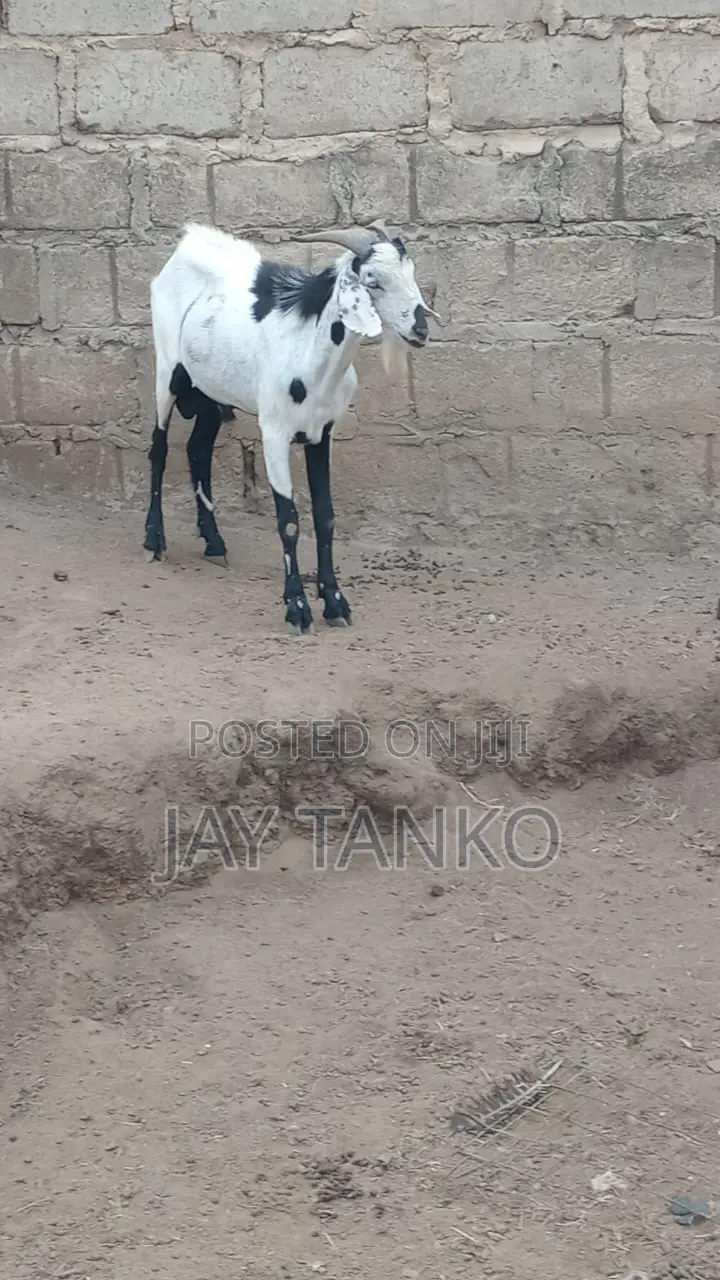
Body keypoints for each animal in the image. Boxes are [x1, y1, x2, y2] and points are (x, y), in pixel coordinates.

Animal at [143, 218, 439, 634]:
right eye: (373, 280)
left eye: (410, 272)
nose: (420, 328)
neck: (307, 353)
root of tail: (190, 240)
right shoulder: (274, 434)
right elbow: (289, 521)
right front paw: (297, 607)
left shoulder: (322, 433)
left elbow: (325, 517)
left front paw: (335, 603)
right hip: (168, 371)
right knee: (159, 448)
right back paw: (155, 541)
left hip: (211, 391)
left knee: (197, 450)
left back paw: (214, 543)